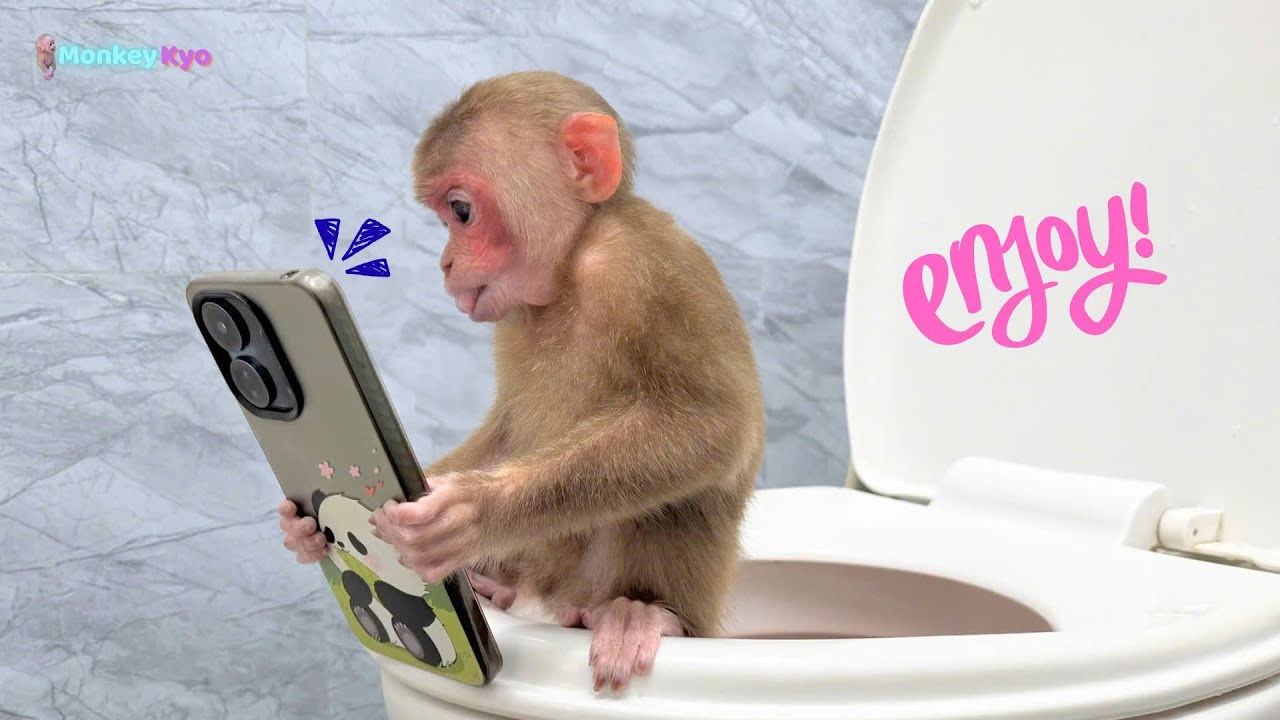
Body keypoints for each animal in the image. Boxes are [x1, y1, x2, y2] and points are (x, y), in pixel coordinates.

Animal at [280, 70, 765, 693]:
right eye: (445, 219)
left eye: (461, 212)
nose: (445, 263)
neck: (570, 267)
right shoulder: (511, 318)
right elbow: (507, 434)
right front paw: (300, 529)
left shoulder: (646, 263)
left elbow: (715, 423)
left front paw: (473, 510)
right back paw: (494, 587)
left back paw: (643, 615)